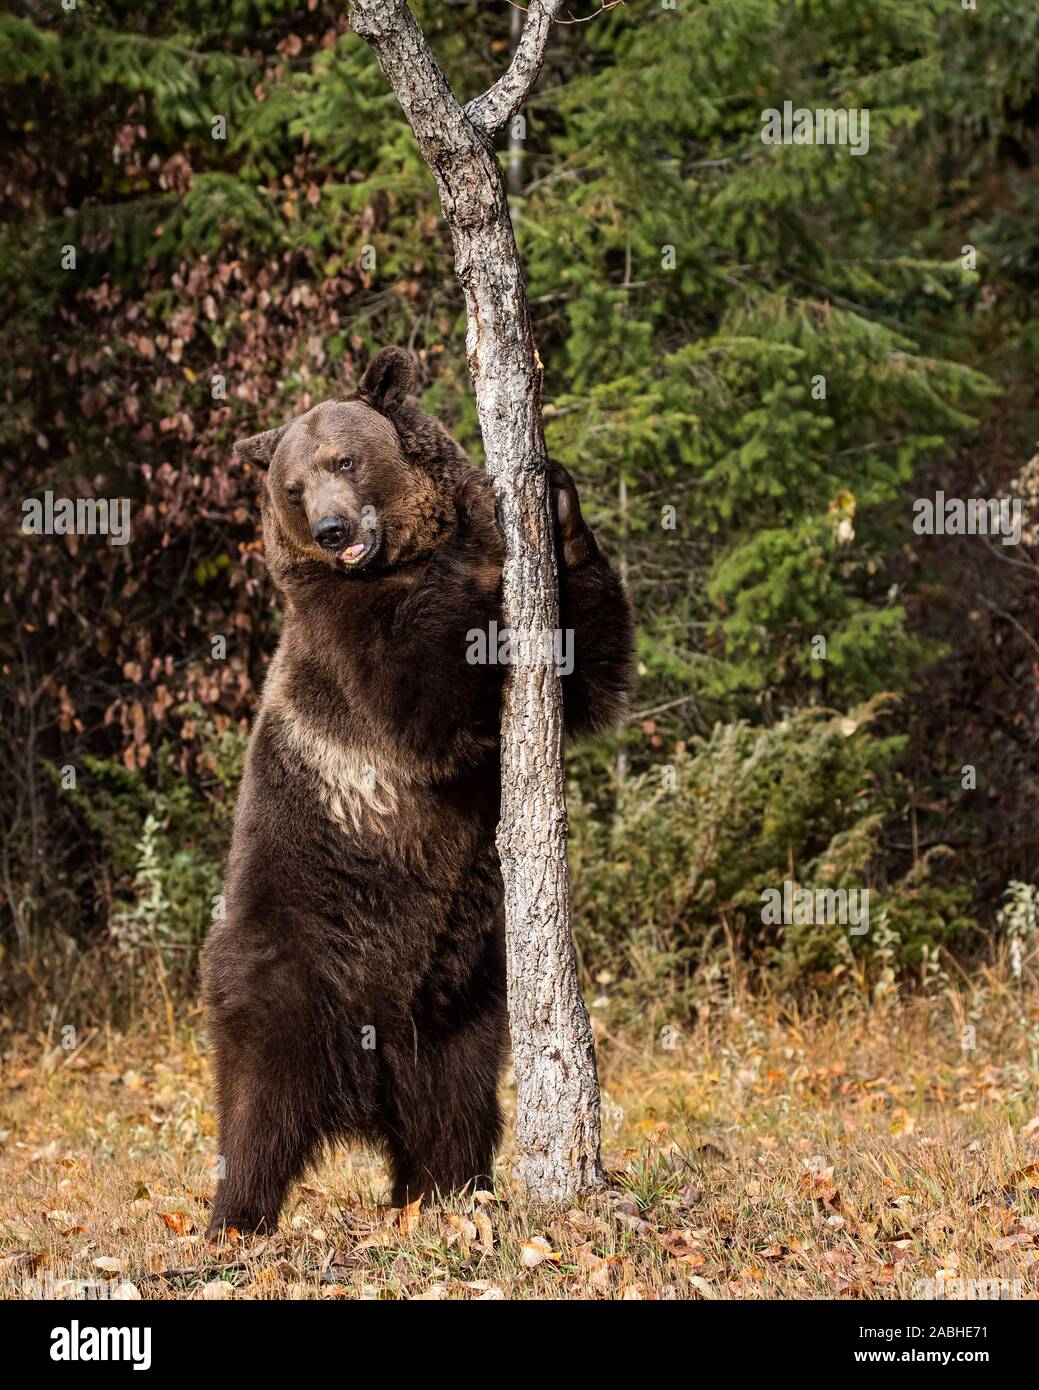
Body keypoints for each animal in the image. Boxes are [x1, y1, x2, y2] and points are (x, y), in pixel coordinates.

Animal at [202, 347, 633, 1235]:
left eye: (343, 460)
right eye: (292, 486)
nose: (332, 530)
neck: (392, 564)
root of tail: (366, 1077)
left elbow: (585, 671)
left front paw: (556, 501)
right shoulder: (349, 646)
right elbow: (421, 698)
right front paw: (480, 546)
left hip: (457, 997)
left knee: (455, 1108)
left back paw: (447, 1193)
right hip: (284, 963)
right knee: (256, 1107)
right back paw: (234, 1219)